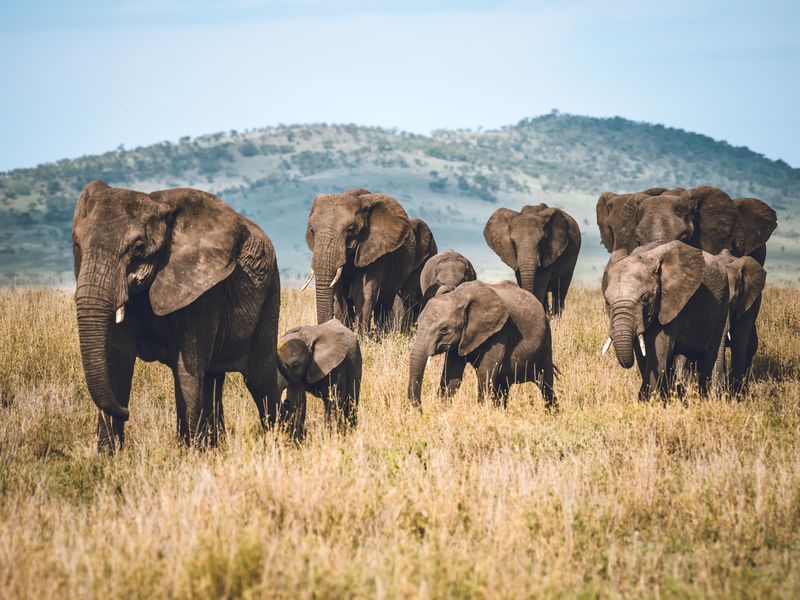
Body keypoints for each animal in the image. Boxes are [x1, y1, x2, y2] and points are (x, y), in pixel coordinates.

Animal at [72, 181, 280, 451]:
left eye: (139, 248)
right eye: (77, 244)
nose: (126, 412)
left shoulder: (203, 288)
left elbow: (188, 366)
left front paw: (191, 454)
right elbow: (117, 362)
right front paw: (108, 456)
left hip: (269, 293)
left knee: (261, 380)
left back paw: (280, 440)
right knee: (213, 378)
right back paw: (217, 446)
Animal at [304, 188, 424, 333]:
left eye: (350, 230)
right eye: (312, 231)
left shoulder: (375, 250)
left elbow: (364, 294)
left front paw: (361, 337)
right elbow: (340, 296)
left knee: (385, 302)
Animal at [407, 280, 555, 409]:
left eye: (444, 329)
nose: (420, 411)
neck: (459, 296)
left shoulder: (500, 332)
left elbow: (485, 374)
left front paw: (481, 410)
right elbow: (451, 375)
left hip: (545, 341)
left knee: (545, 383)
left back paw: (552, 414)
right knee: (503, 387)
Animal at [601, 241, 729, 400]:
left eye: (645, 297)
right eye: (607, 302)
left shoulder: (673, 301)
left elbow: (658, 348)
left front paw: (648, 400)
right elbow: (642, 353)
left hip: (723, 303)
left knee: (712, 355)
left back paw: (709, 399)